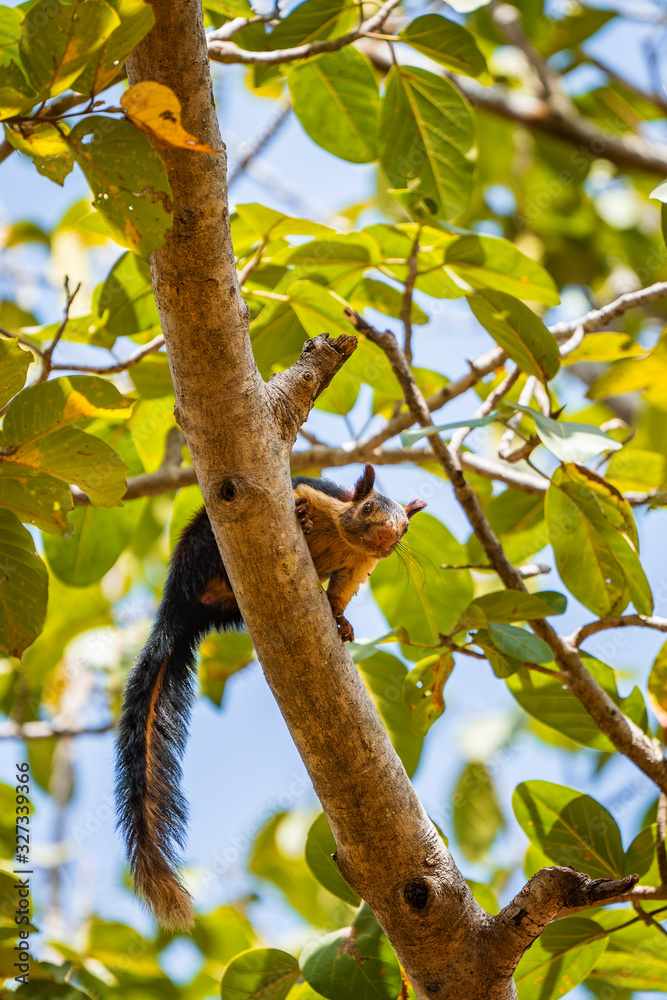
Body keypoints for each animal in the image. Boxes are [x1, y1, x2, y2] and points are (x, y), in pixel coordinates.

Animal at [114, 463, 426, 930]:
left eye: (405, 526)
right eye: (369, 506)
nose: (387, 537)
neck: (343, 536)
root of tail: (178, 606)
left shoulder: (358, 566)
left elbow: (341, 591)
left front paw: (340, 620)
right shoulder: (314, 490)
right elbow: (301, 494)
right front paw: (303, 515)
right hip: (204, 543)